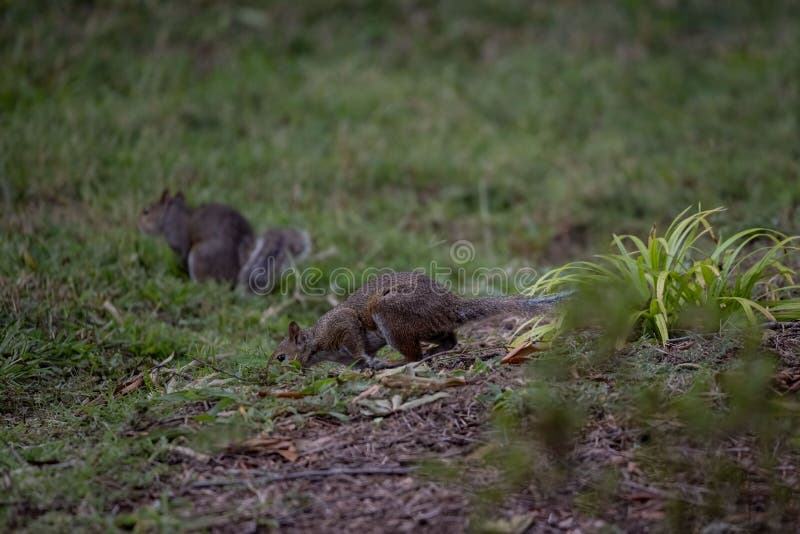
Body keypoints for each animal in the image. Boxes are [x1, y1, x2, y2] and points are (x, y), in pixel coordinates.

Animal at [139, 190, 311, 293]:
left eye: (146, 211)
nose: (138, 223)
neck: (173, 216)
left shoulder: (180, 241)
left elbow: (182, 254)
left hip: (200, 256)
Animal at [271, 271, 572, 369]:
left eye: (280, 357)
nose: (268, 375)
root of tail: (450, 305)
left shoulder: (342, 325)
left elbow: (356, 343)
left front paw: (369, 362)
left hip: (391, 317)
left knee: (413, 356)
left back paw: (397, 363)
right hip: (428, 328)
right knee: (449, 341)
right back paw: (432, 353)